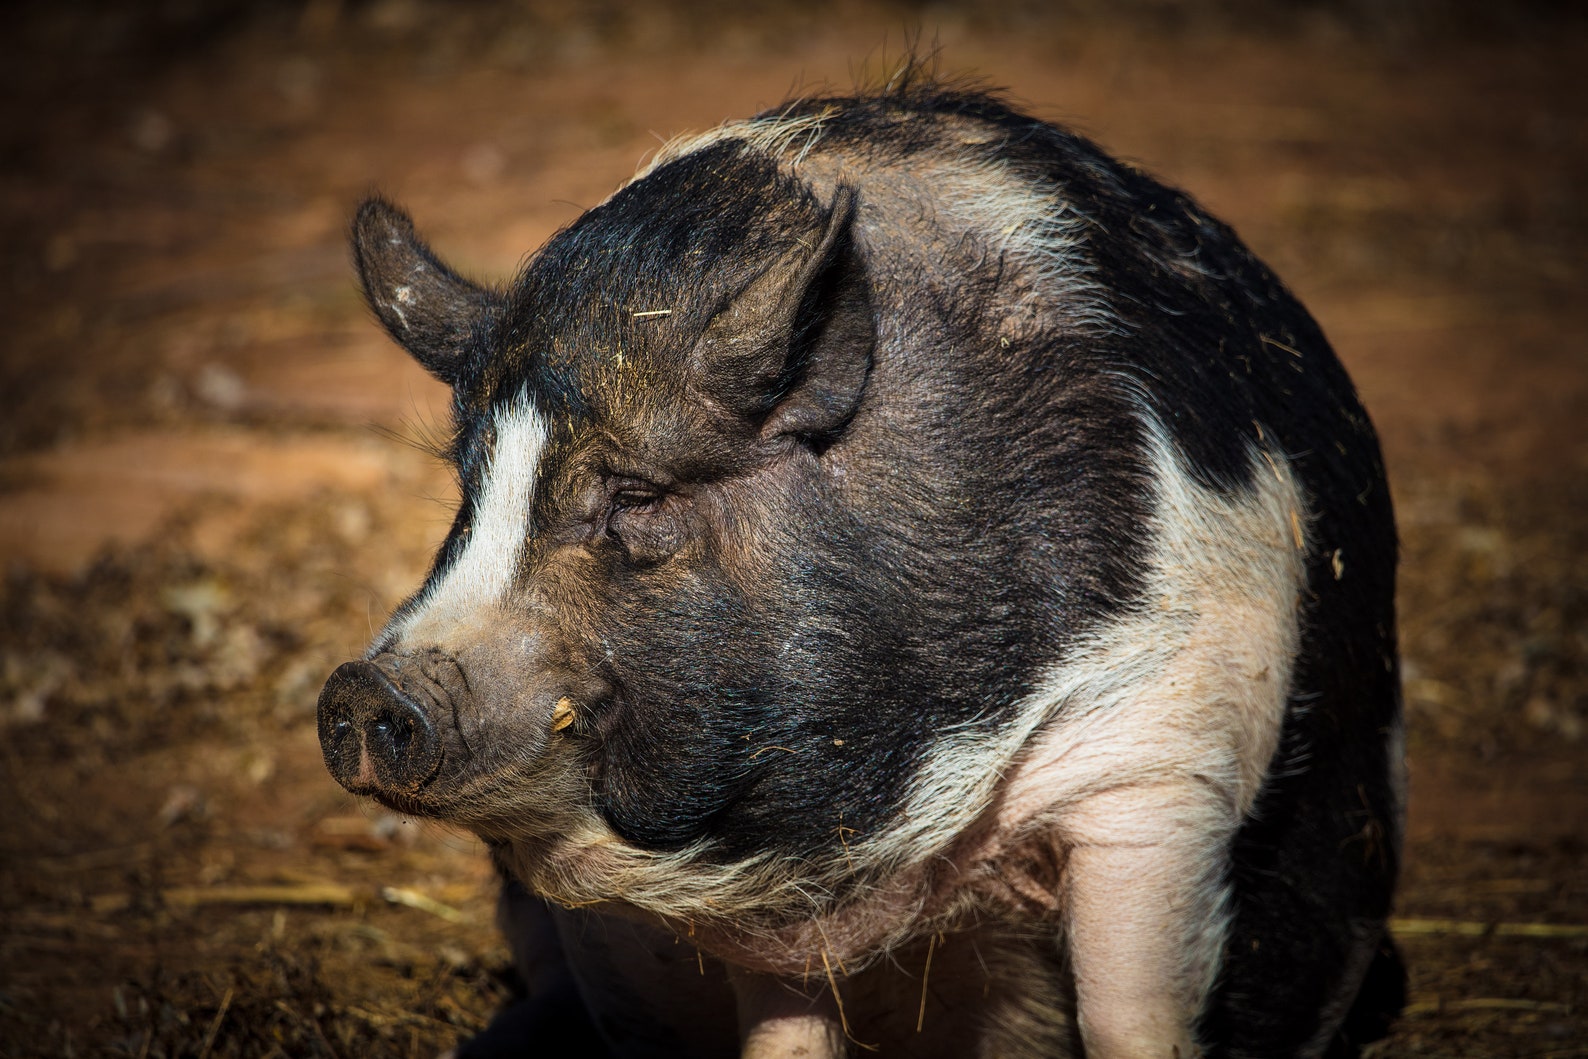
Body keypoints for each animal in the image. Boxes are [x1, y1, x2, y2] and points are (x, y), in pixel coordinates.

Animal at [318, 79, 1405, 1058]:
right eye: (468, 488)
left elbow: (1132, 1022)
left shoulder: (1163, 754)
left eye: (637, 496)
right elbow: (787, 1042)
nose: (362, 688)